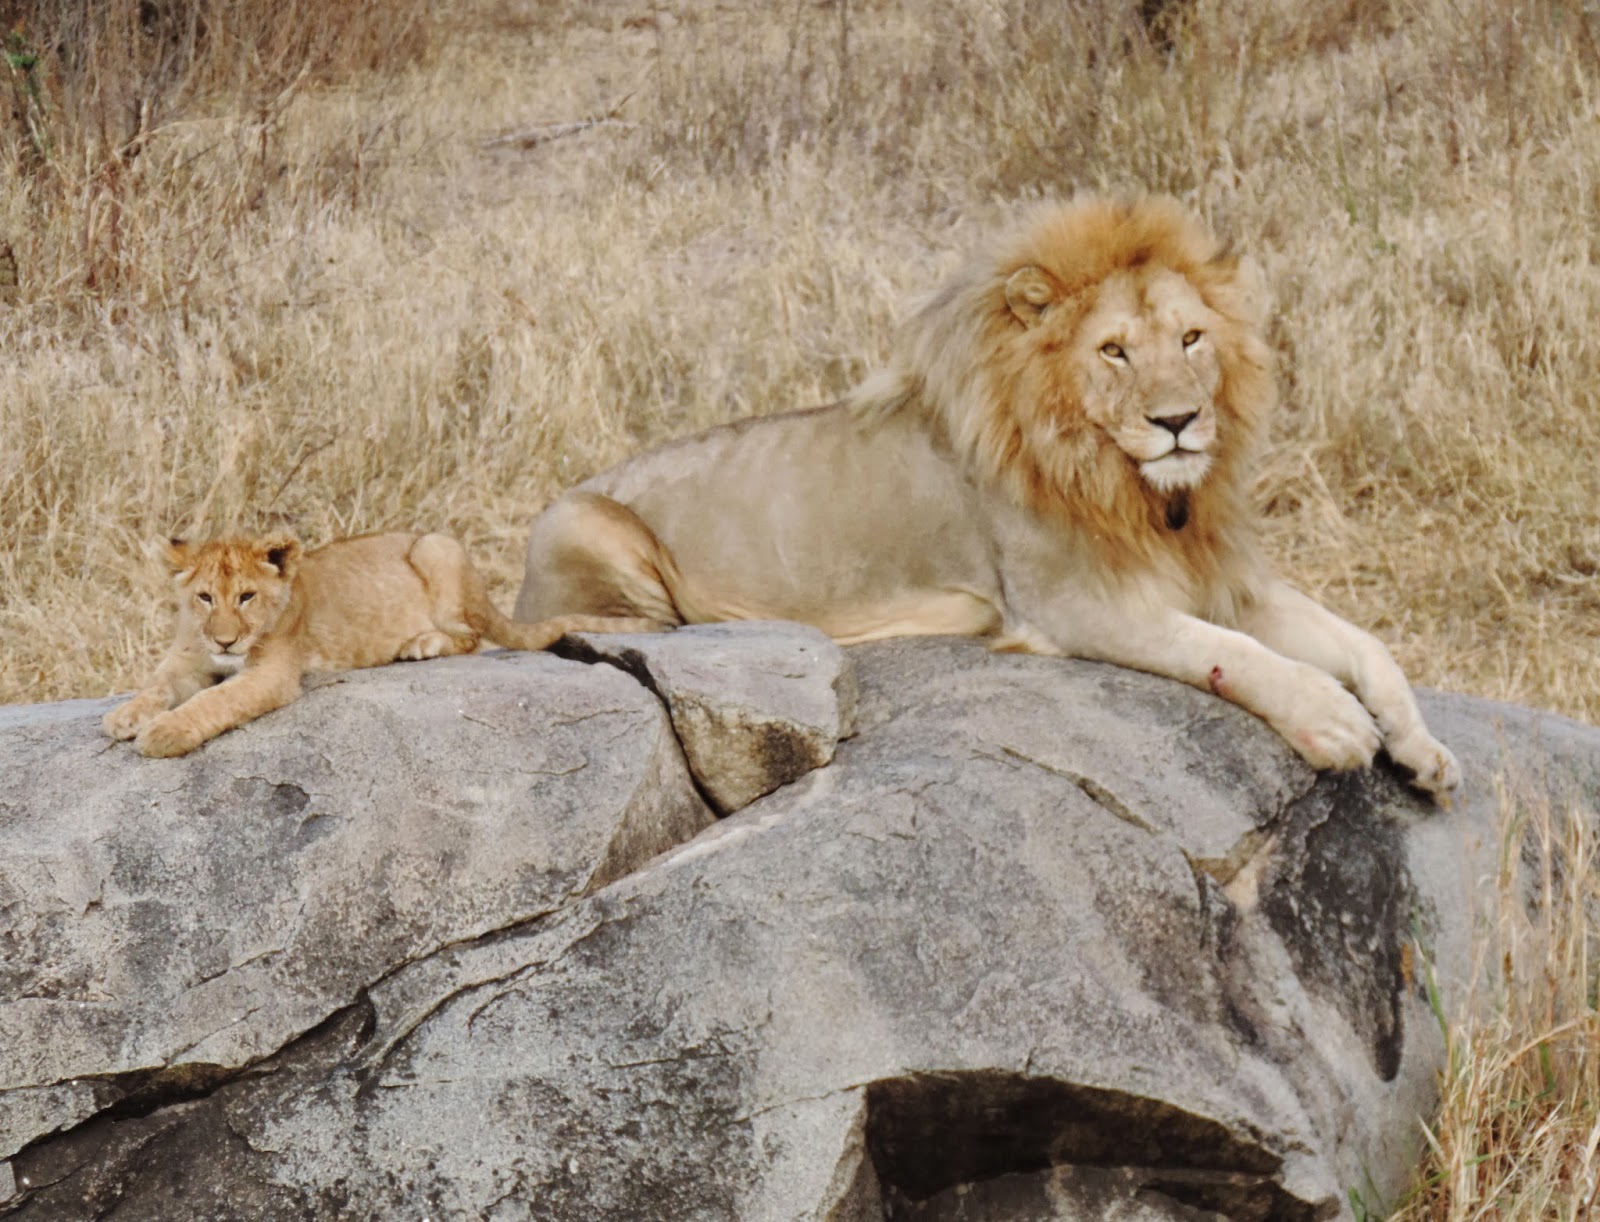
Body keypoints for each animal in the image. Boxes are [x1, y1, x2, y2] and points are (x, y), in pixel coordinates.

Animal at [104, 531, 661, 758]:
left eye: (246, 597)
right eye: (204, 597)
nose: (226, 639)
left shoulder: (271, 675)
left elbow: (214, 700)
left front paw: (163, 733)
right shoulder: (185, 660)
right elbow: (156, 686)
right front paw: (124, 716)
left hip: (437, 550)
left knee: (471, 638)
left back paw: (420, 644)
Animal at [515, 195, 1459, 798]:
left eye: (1193, 338)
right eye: (1114, 350)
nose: (1179, 422)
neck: (1141, 494)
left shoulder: (1223, 578)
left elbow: (1366, 644)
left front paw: (1422, 748)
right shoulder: (1076, 604)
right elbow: (1235, 655)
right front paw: (1333, 722)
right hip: (588, 522)